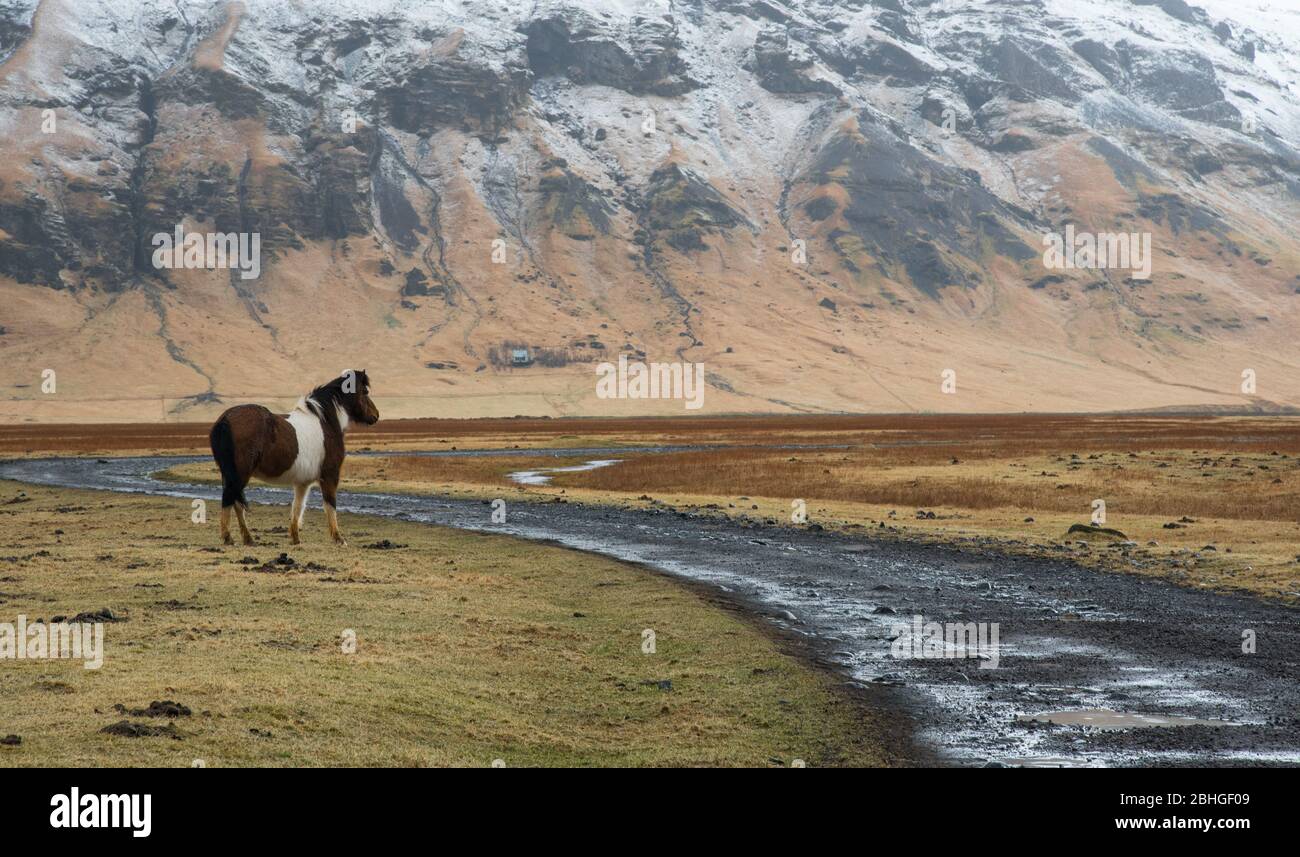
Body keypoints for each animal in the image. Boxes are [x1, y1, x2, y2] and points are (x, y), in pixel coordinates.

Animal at [208, 370, 379, 546]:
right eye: (365, 392)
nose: (376, 415)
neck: (325, 422)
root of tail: (224, 419)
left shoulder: (302, 482)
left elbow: (297, 507)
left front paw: (295, 538)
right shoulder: (330, 476)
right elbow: (330, 505)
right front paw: (338, 538)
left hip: (229, 474)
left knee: (235, 502)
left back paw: (247, 539)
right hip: (240, 474)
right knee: (230, 499)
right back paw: (229, 537)